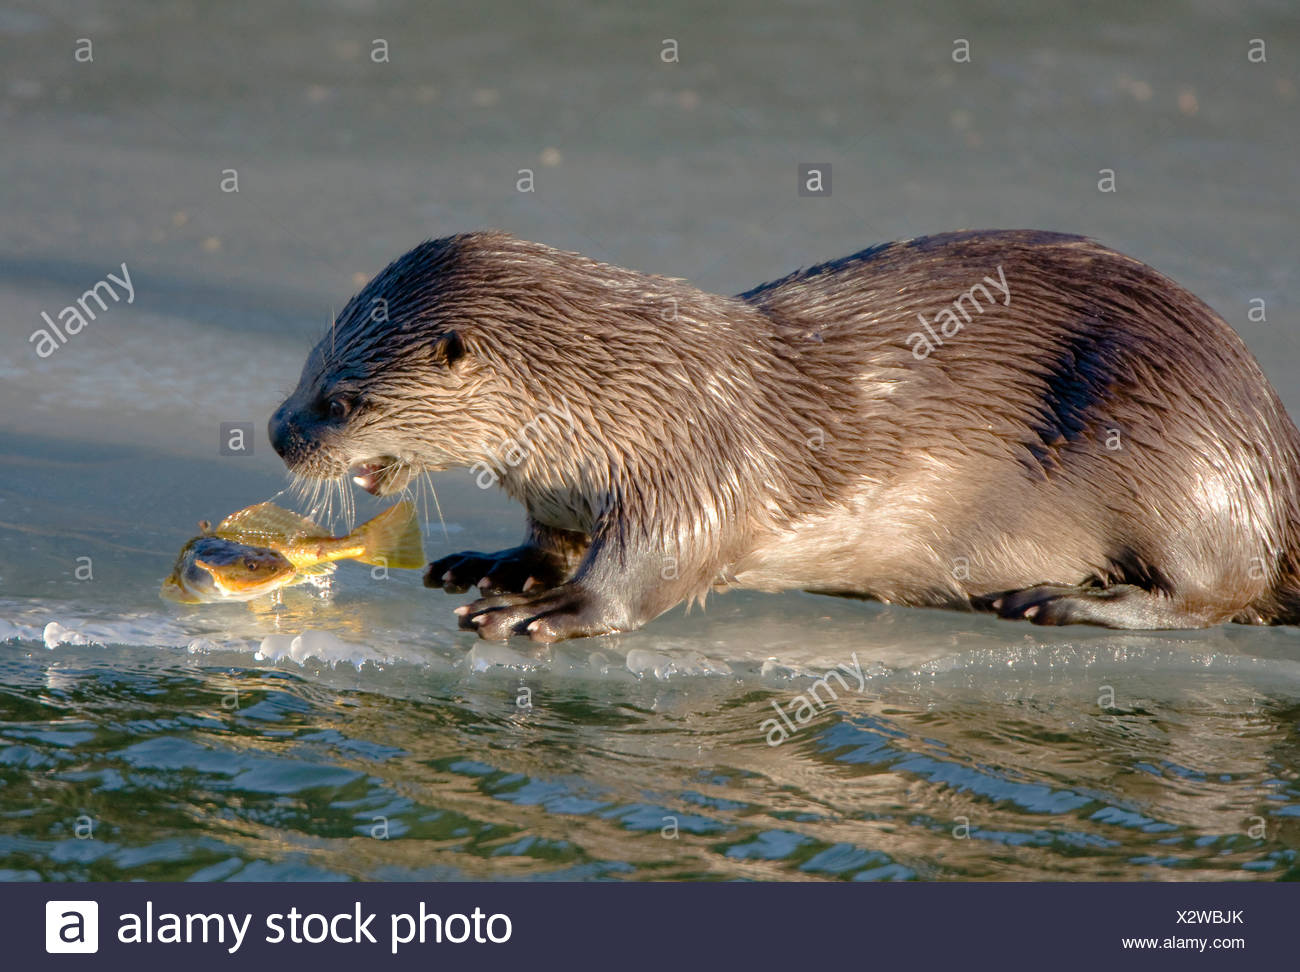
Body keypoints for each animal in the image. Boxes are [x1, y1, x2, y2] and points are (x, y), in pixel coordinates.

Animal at [268, 229, 1300, 642]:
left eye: (344, 400)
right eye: (308, 361)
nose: (279, 433)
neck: (614, 396)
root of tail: (1272, 452)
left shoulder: (695, 456)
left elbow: (659, 559)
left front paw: (550, 611)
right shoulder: (562, 486)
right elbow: (552, 539)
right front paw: (495, 566)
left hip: (1177, 449)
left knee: (1219, 592)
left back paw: (1063, 601)